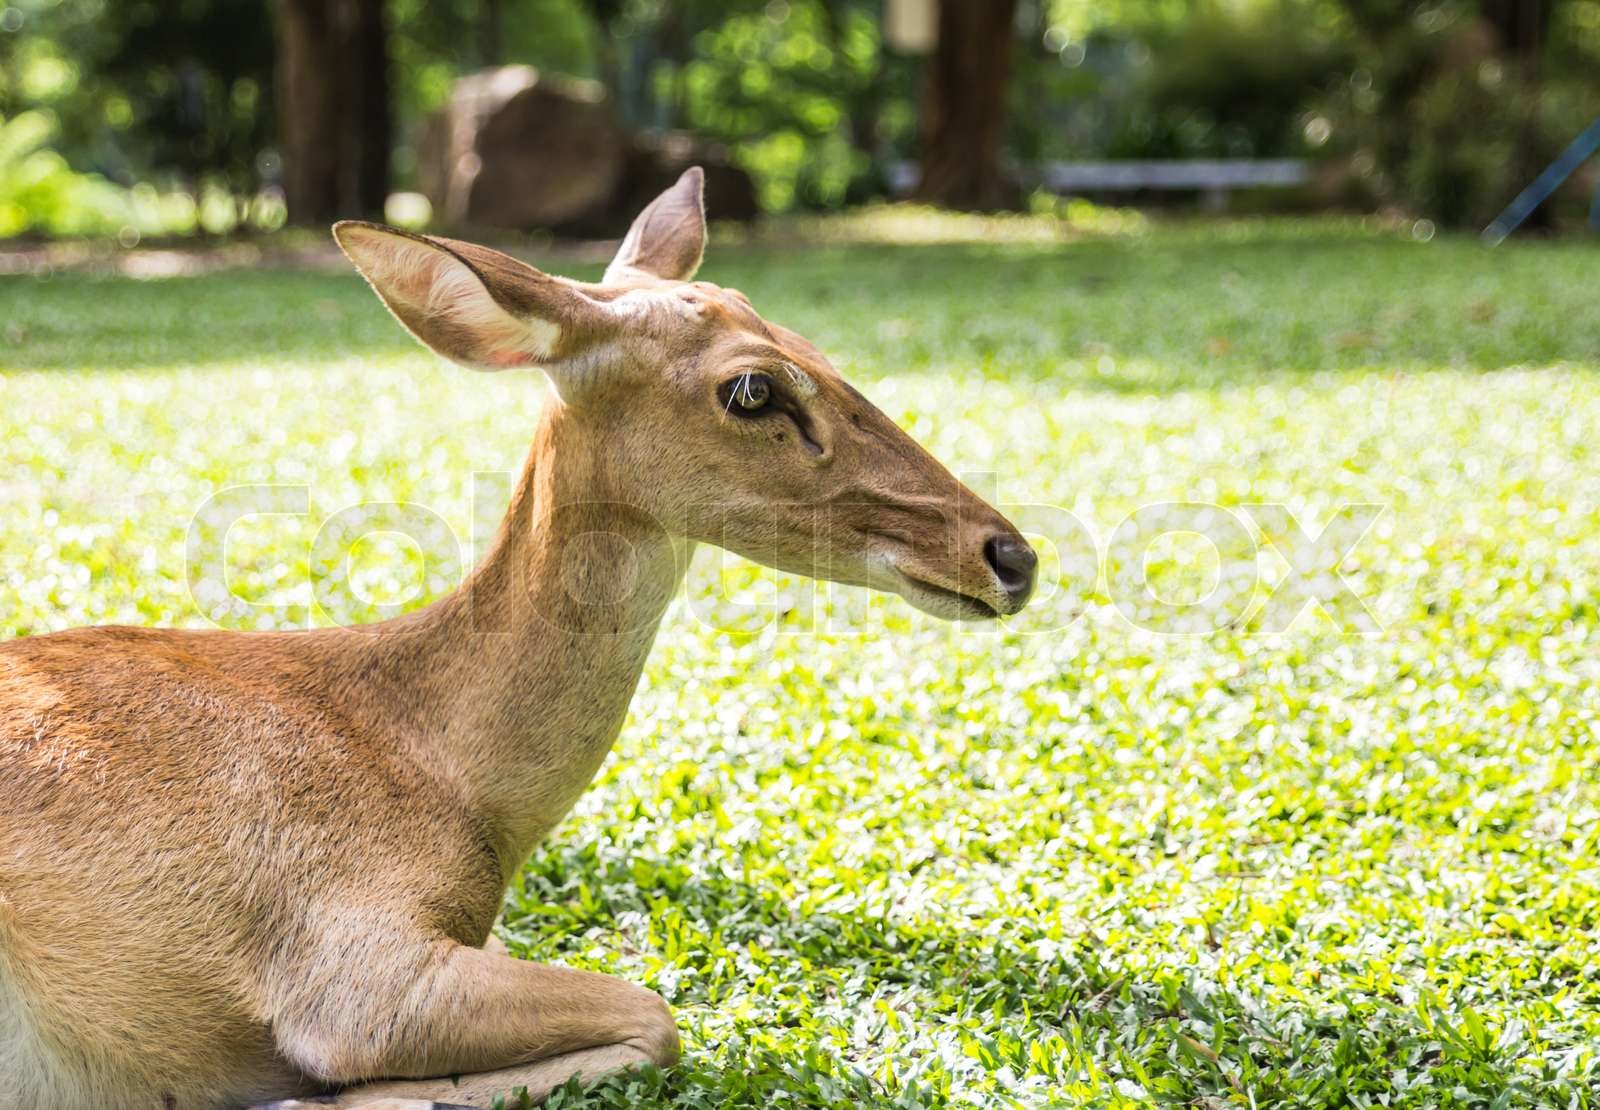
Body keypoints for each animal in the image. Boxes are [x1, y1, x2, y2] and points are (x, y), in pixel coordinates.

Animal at [0, 168, 1037, 1110]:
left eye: (813, 347)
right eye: (752, 387)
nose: (1010, 554)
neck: (453, 782)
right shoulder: (351, 966)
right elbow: (657, 1017)